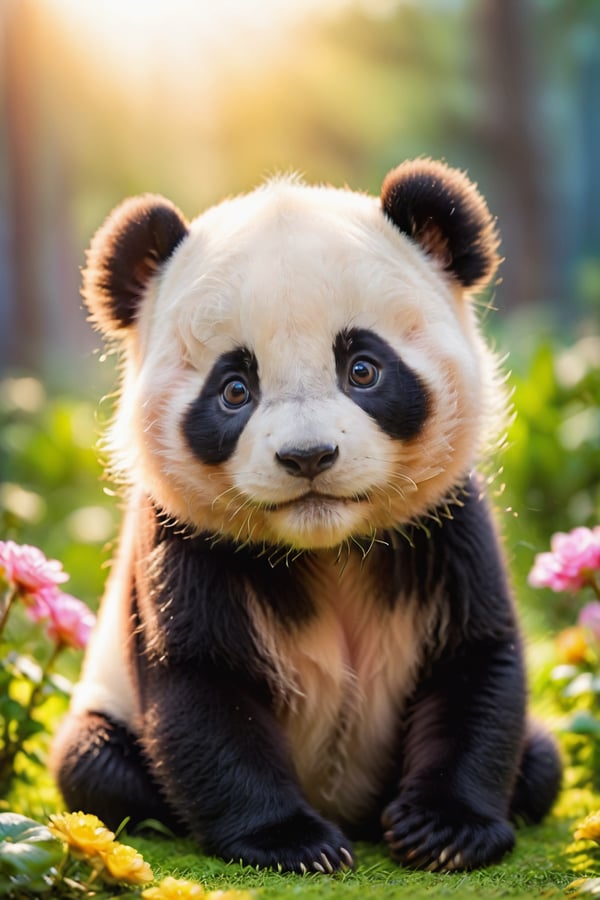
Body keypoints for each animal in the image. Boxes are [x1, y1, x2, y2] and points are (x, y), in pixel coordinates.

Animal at [51, 159, 561, 875]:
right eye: (235, 389)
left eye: (363, 369)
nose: (308, 456)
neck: (328, 545)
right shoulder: (183, 543)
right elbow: (202, 687)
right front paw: (292, 843)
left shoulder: (444, 526)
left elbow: (475, 661)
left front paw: (444, 829)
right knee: (94, 768)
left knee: (542, 762)